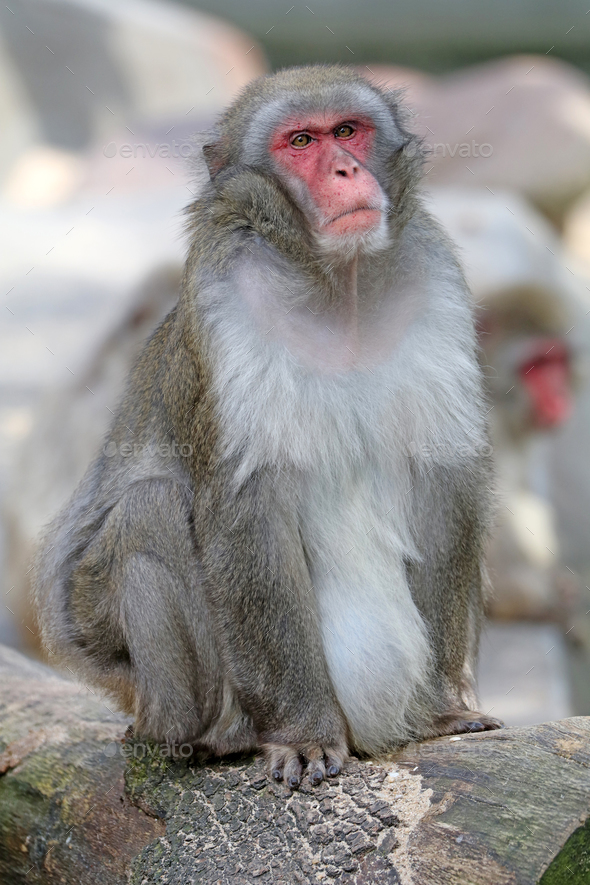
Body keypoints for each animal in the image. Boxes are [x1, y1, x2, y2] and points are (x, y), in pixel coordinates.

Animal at [33, 65, 502, 791]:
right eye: (300, 141)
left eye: (348, 131)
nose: (344, 169)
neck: (338, 286)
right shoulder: (229, 300)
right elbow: (245, 507)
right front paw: (303, 733)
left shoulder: (436, 280)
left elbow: (444, 482)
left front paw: (444, 708)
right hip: (114, 648)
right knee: (150, 508)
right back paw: (209, 739)